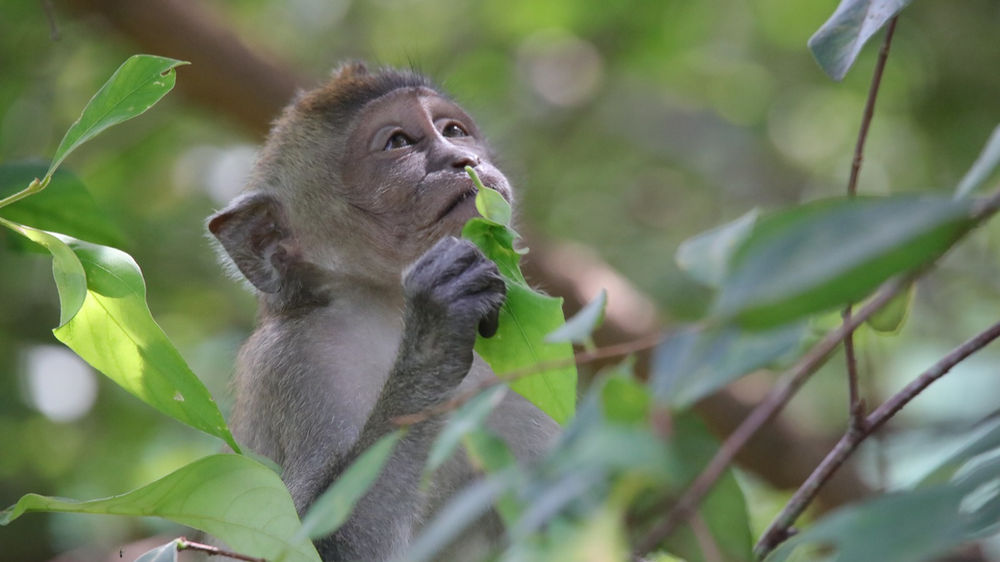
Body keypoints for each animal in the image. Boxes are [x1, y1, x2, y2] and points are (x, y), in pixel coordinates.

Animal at [207, 62, 560, 560]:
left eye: (454, 131)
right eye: (398, 143)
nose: (463, 159)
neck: (388, 315)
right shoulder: (293, 364)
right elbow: (309, 541)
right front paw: (433, 335)